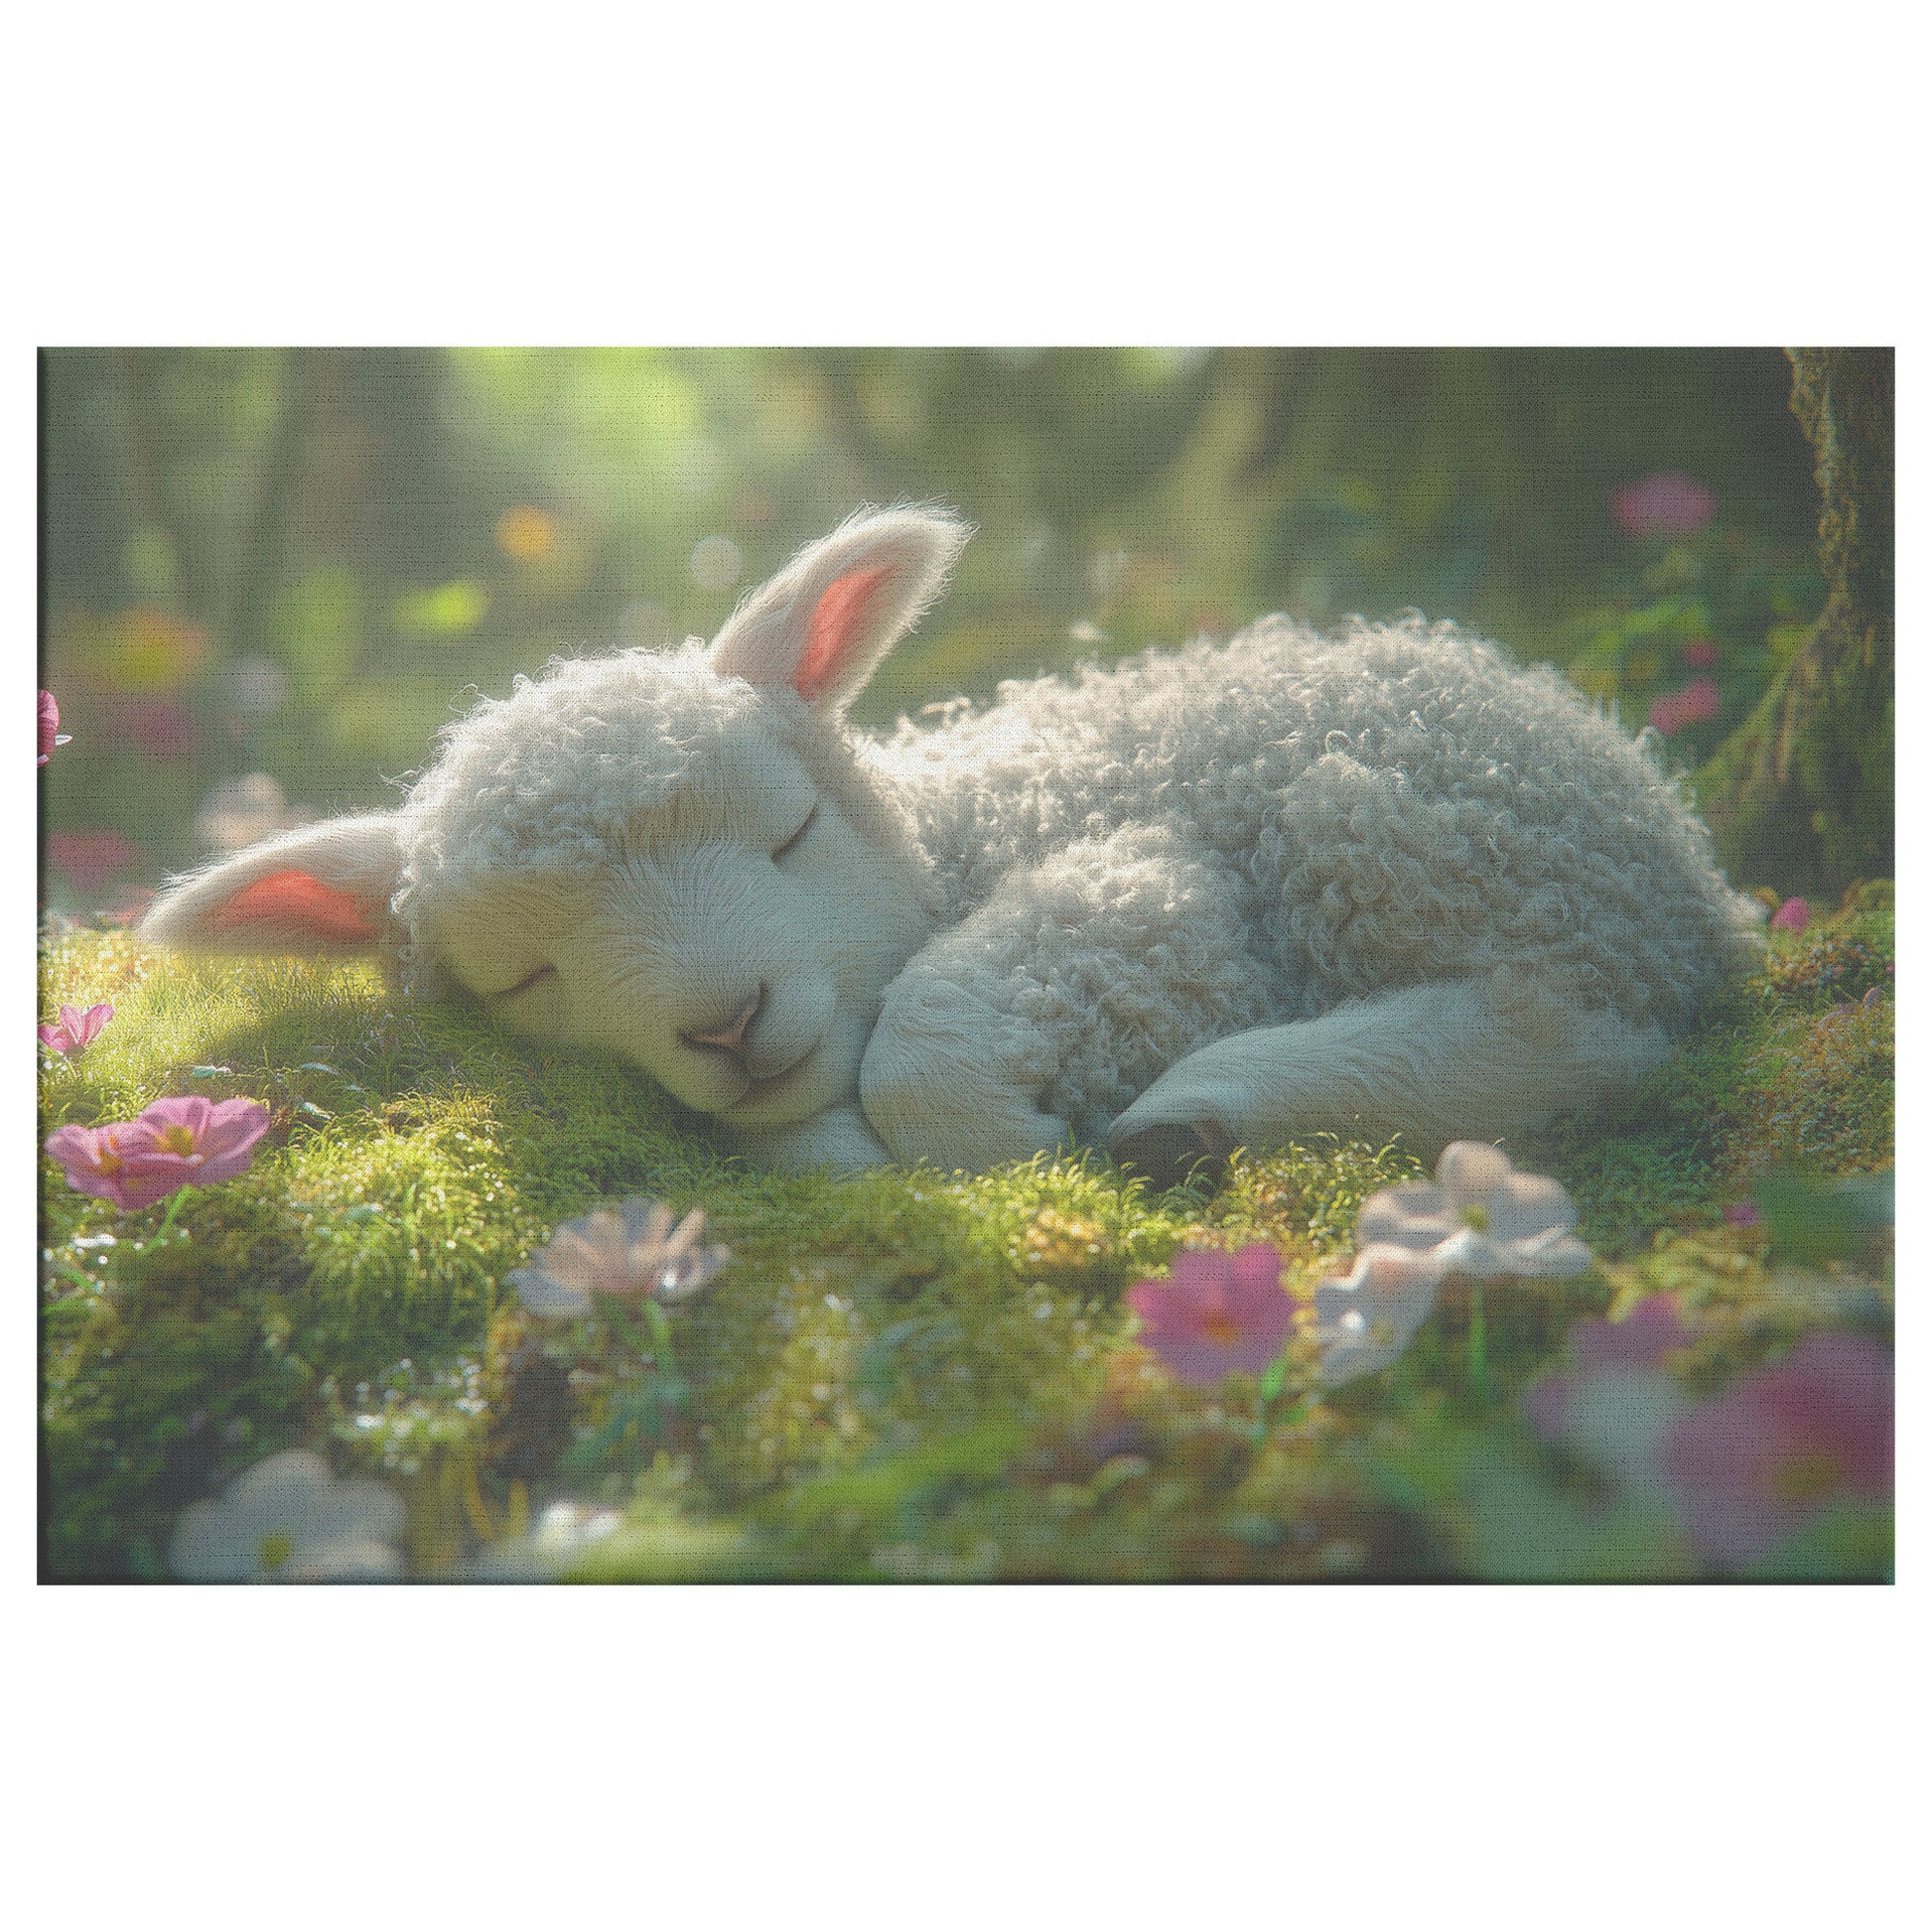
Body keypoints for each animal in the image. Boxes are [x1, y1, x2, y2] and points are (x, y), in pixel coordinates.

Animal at [141, 505, 1762, 1183]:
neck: (957, 825)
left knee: (1573, 1031)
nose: (727, 1021)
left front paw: (987, 1132)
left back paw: (1212, 1102)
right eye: (523, 980)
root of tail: (1690, 863)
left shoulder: (1148, 888)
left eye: (788, 830)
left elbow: (930, 1049)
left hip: (1417, 832)